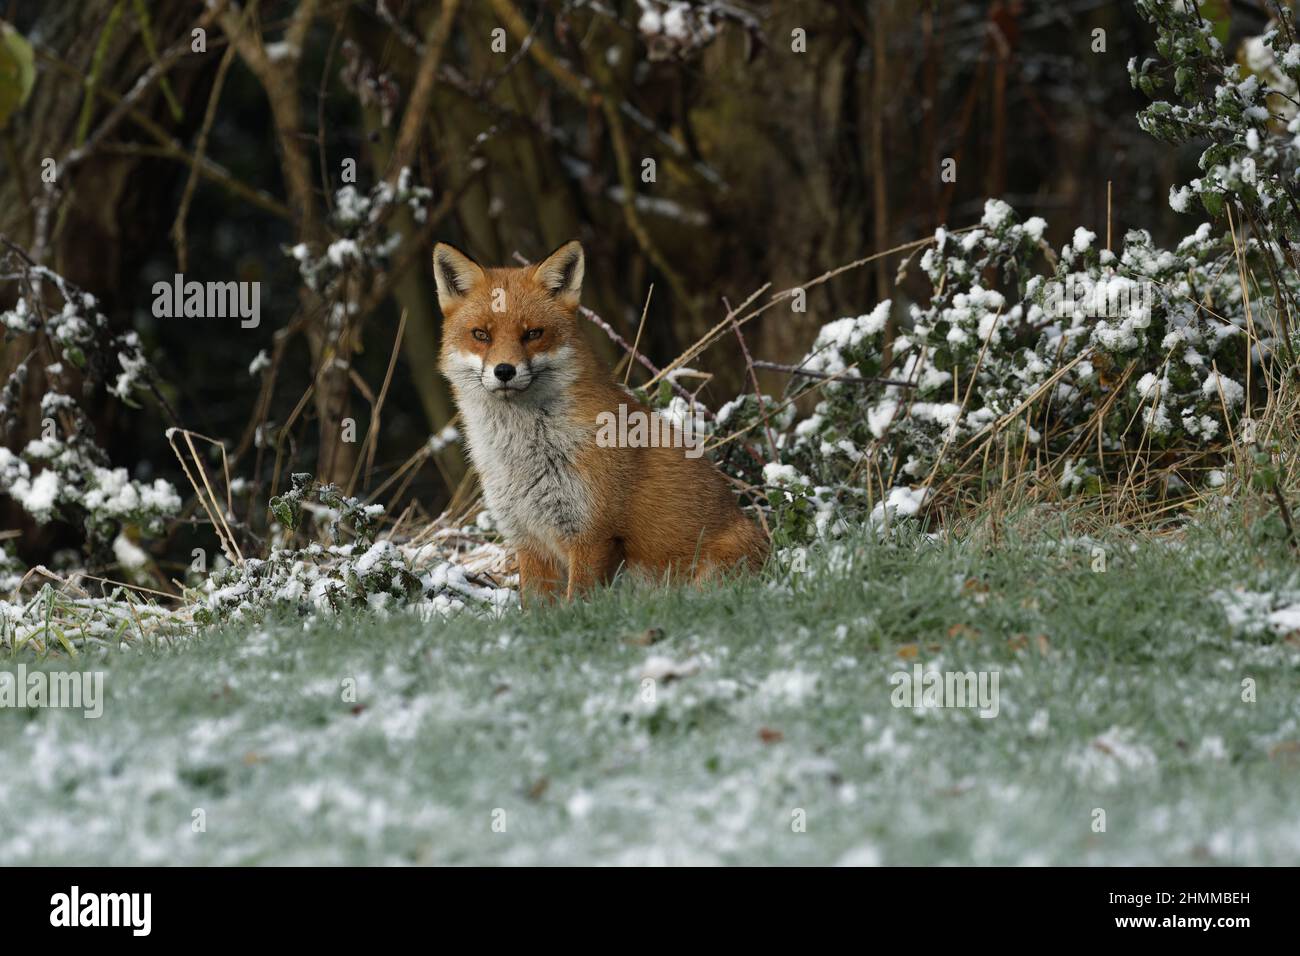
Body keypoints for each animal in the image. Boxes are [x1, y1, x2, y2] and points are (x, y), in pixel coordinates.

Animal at [433, 239, 768, 604]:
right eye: (481, 335)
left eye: (533, 333)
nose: (504, 370)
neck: (522, 455)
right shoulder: (528, 539)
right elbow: (535, 608)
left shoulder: (591, 535)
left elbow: (577, 603)